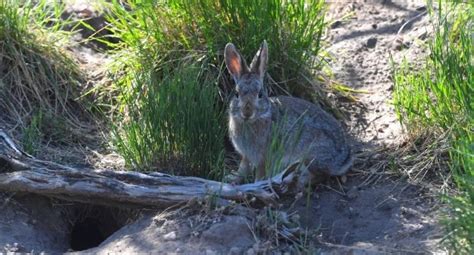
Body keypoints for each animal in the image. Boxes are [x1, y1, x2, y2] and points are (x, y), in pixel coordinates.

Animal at [223, 40, 352, 186]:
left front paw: (256, 184)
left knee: (319, 175)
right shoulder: (246, 156)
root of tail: (344, 158)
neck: (252, 121)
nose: (247, 112)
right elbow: (243, 168)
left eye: (260, 94)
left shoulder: (264, 157)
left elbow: (260, 173)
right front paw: (231, 179)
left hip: (311, 156)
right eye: (237, 94)